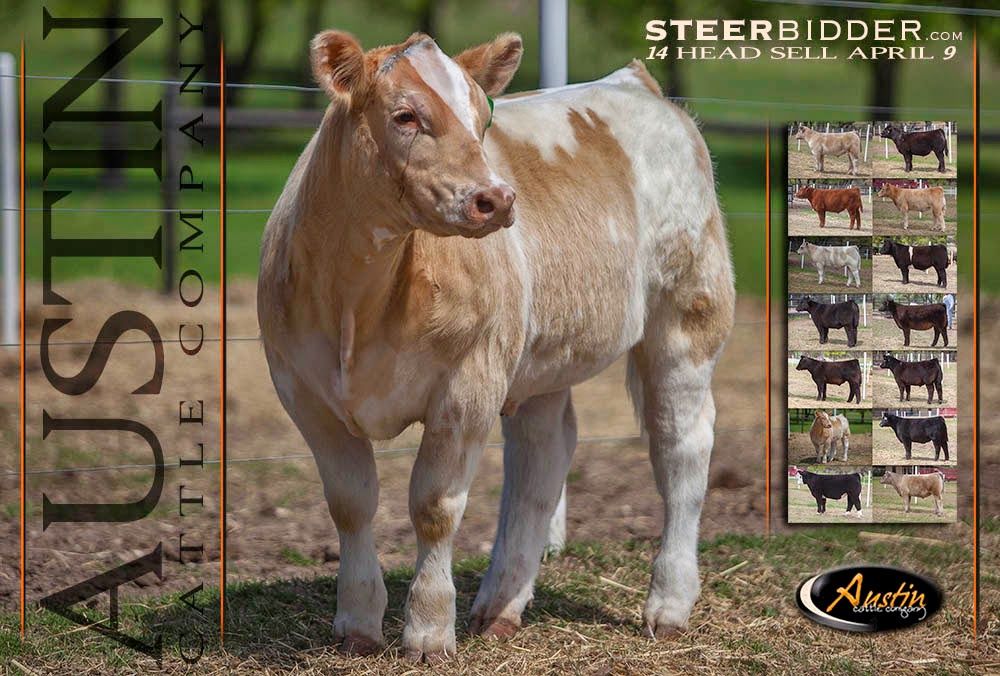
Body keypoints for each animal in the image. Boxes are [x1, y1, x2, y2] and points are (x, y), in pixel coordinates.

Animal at [256, 31, 735, 661]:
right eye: (405, 115)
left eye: (483, 120)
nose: (498, 199)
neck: (359, 300)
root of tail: (633, 81)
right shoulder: (305, 393)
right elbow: (351, 503)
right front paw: (358, 623)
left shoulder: (468, 383)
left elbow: (434, 508)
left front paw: (429, 631)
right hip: (544, 353)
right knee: (542, 453)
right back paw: (502, 603)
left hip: (687, 315)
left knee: (682, 446)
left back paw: (669, 602)